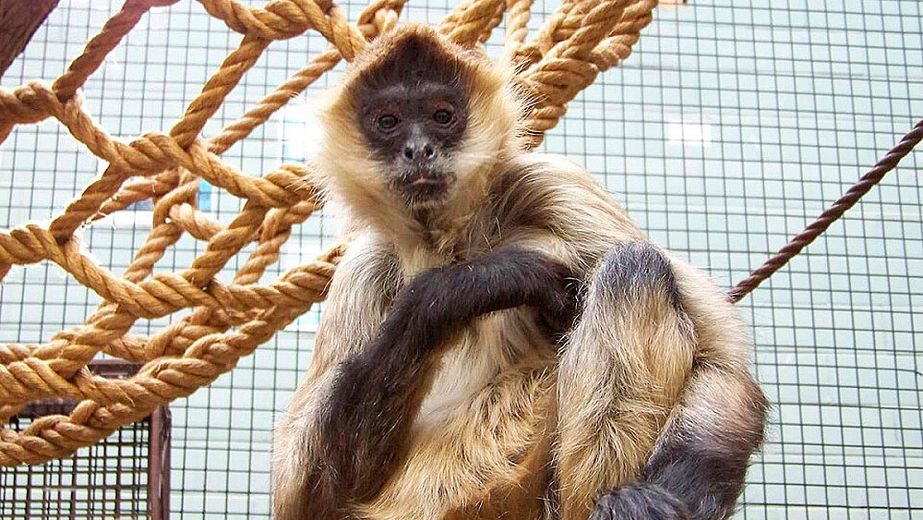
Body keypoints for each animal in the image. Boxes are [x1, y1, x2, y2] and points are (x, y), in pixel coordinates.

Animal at [272, 24, 769, 520]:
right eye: (388, 122)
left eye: (441, 115)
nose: (418, 150)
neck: (453, 240)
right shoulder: (367, 261)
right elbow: (305, 497)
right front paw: (478, 283)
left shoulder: (549, 181)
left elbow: (722, 362)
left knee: (633, 267)